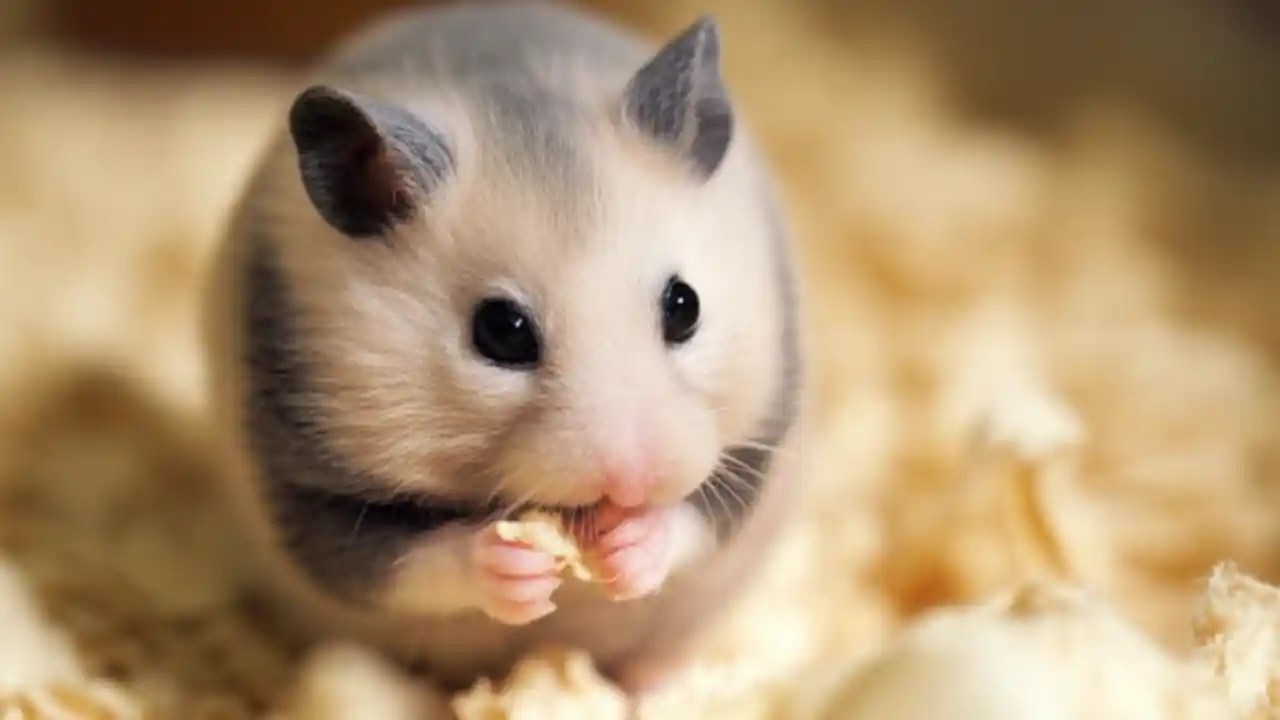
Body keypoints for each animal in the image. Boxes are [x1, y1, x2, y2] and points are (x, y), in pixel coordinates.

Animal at [202, 0, 803, 693]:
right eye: (502, 332)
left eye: (685, 306)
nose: (632, 480)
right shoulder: (309, 493)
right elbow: (404, 560)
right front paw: (516, 565)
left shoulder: (760, 442)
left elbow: (700, 517)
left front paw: (629, 547)